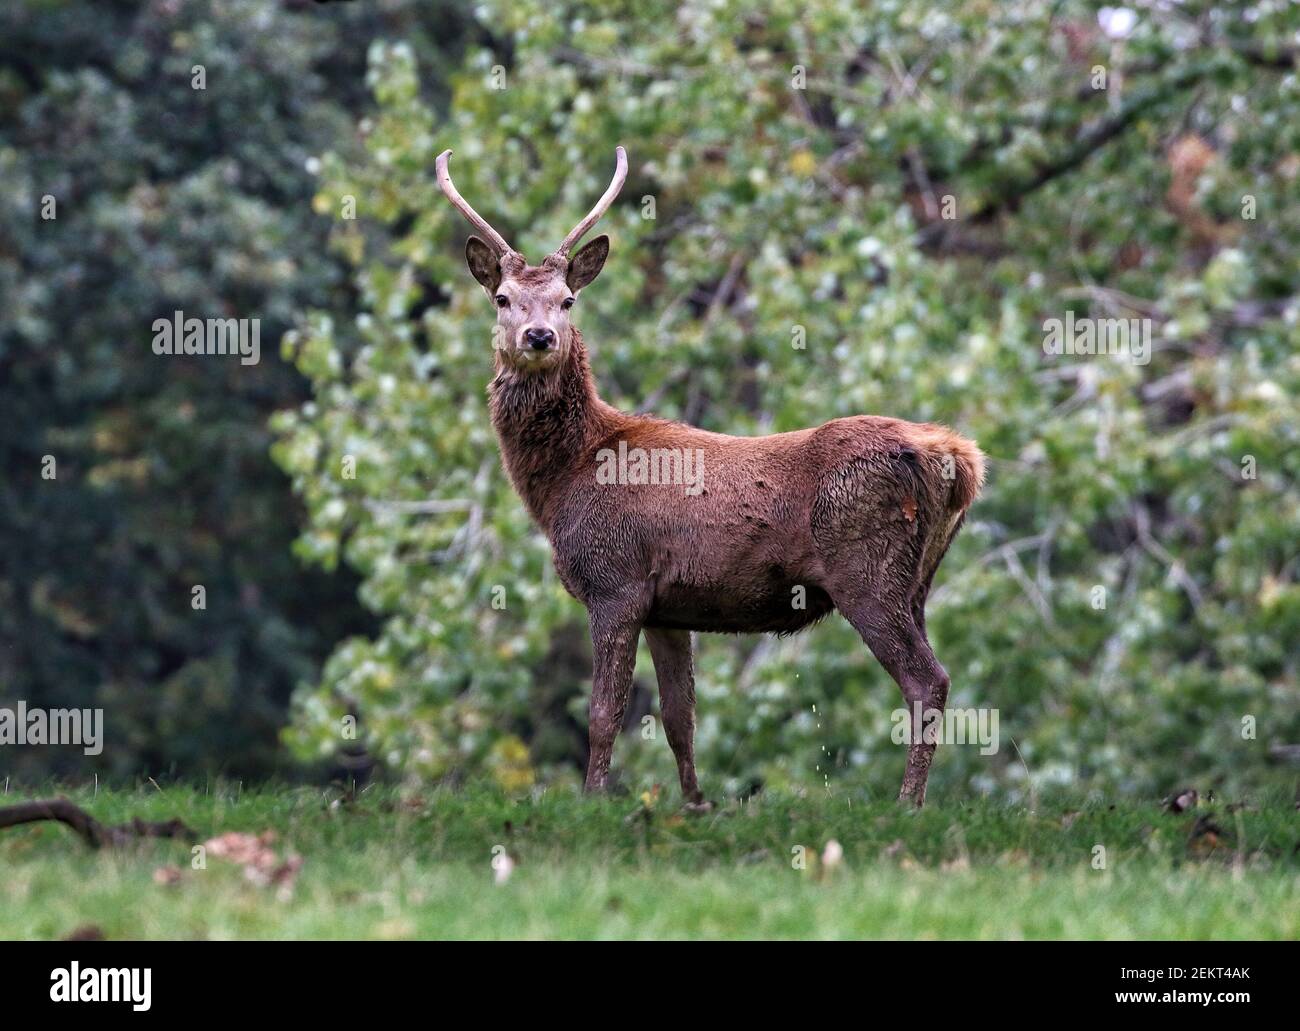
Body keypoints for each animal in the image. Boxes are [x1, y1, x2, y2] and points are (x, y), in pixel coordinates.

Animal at [435, 145, 984, 808]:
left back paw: (907, 804)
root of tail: (958, 459)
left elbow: (603, 711)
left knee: (928, 680)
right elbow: (680, 718)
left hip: (866, 569)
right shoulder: (667, 607)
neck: (564, 479)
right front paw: (696, 805)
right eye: (502, 298)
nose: (538, 336)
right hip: (919, 579)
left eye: (568, 300)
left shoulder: (615, 580)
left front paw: (592, 800)